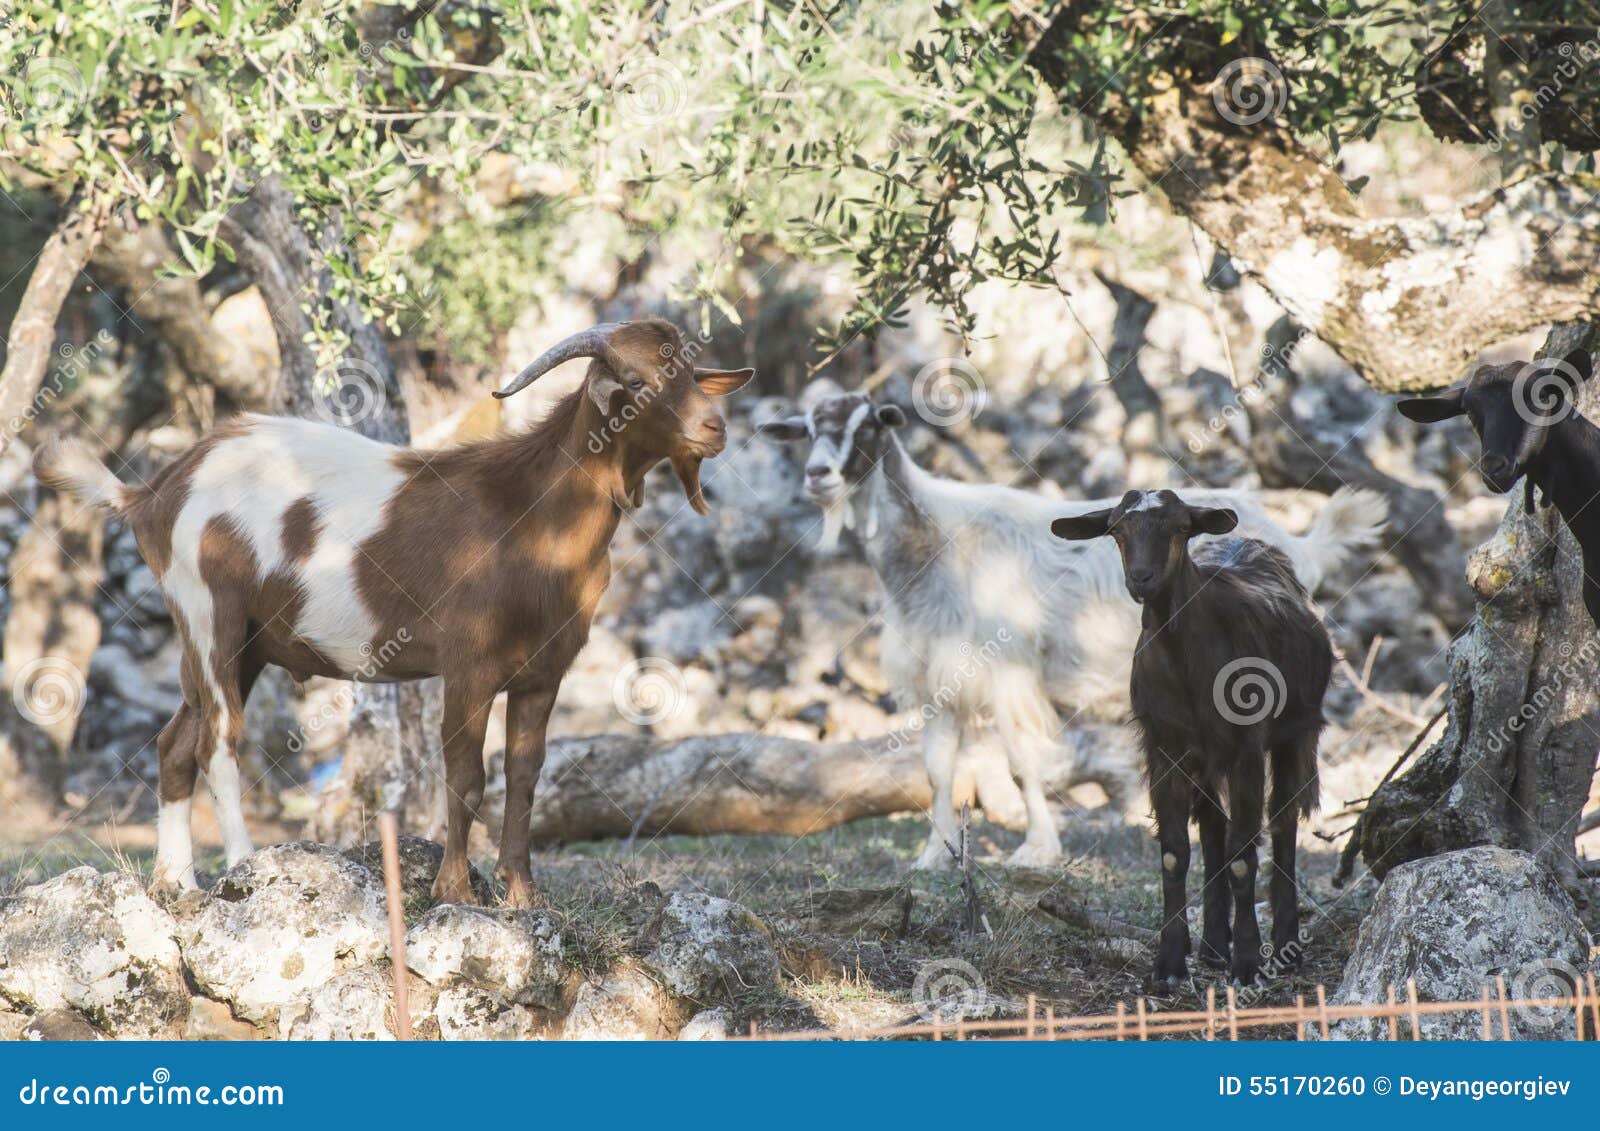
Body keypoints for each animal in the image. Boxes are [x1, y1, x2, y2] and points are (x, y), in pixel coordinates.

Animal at [35, 320, 752, 906]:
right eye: (634, 380)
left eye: (690, 373)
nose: (714, 429)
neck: (532, 516)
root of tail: (151, 492)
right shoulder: (468, 663)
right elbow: (466, 774)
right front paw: (455, 890)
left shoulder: (544, 671)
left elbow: (524, 776)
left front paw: (522, 894)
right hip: (211, 616)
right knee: (219, 739)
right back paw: (240, 865)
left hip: (244, 645)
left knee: (175, 741)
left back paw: (175, 880)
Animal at [760, 393, 1381, 869]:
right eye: (808, 429)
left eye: (866, 426)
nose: (817, 476)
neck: (935, 544)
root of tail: (1295, 541)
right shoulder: (935, 673)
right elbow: (937, 770)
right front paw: (934, 856)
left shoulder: (1005, 664)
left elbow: (1022, 760)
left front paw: (1036, 850)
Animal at [1052, 490, 1329, 987]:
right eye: (1116, 530)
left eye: (1180, 528)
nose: (1141, 578)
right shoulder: (1166, 746)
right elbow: (1175, 852)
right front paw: (1168, 964)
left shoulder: (1245, 747)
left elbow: (1243, 855)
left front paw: (1247, 965)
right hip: (1204, 755)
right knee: (1215, 825)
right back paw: (1214, 946)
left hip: (1297, 729)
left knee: (1283, 819)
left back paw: (1284, 946)